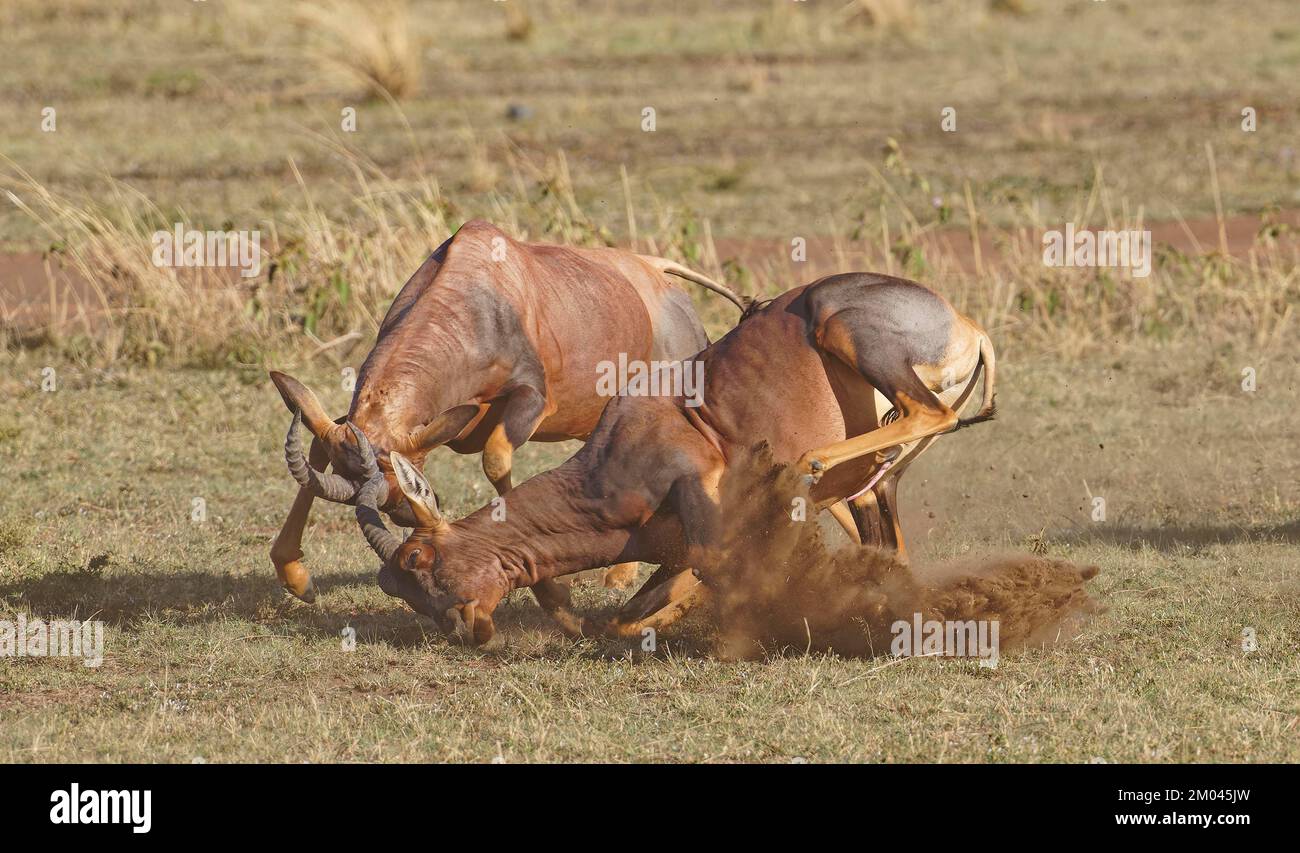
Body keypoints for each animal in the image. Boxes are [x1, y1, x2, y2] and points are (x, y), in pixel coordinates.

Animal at [270, 219, 746, 620]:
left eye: (394, 485)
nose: (411, 513)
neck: (479, 292)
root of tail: (657, 272)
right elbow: (316, 448)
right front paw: (295, 578)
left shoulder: (531, 399)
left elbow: (496, 458)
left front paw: (555, 597)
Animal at [349, 271, 997, 647]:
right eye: (397, 588)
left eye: (416, 557)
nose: (466, 632)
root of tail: (965, 325)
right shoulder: (675, 551)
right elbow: (623, 617)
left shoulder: (699, 489)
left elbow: (714, 570)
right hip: (878, 481)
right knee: (894, 544)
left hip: (846, 333)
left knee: (930, 413)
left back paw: (809, 464)